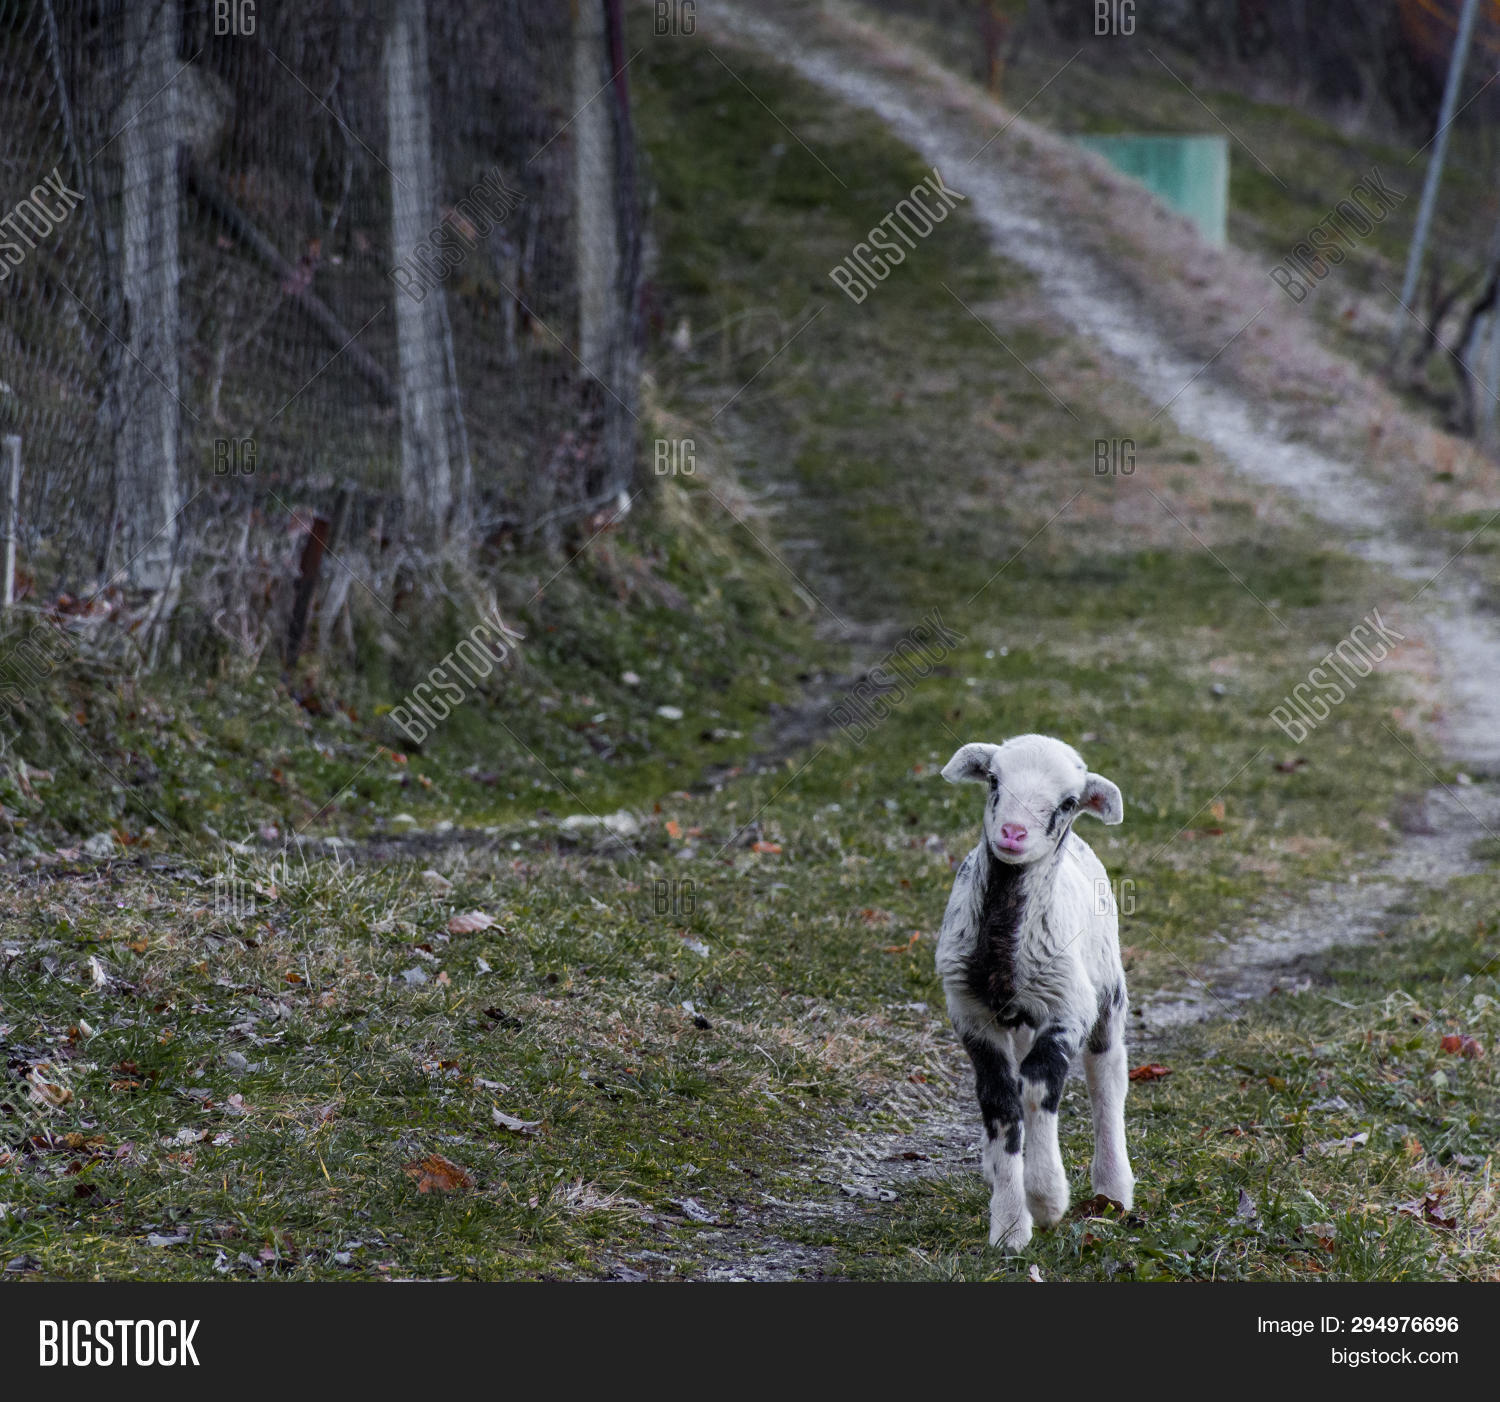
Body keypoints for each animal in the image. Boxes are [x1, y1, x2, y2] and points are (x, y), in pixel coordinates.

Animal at [936, 734, 1134, 1250]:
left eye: (1067, 803)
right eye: (993, 780)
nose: (1012, 833)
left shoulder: (1068, 1007)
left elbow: (1038, 1087)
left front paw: (1046, 1199)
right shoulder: (971, 1014)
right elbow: (1001, 1102)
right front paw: (1009, 1227)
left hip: (1106, 991)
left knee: (1106, 1078)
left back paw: (1113, 1188)